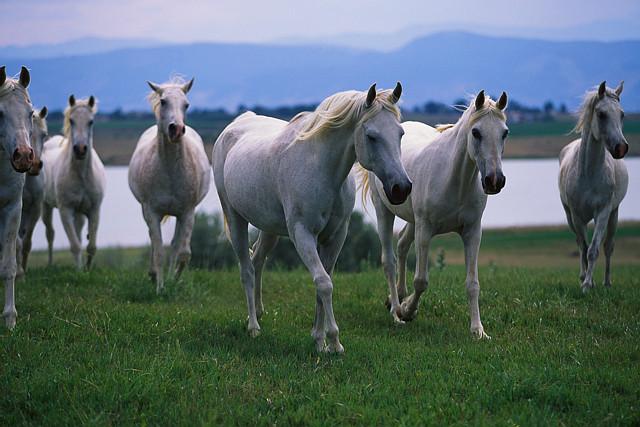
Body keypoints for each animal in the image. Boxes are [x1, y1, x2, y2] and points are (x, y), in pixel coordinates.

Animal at [42, 95, 106, 270]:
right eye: (71, 120)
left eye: (91, 121)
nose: (80, 149)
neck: (81, 175)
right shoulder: (66, 210)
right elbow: (75, 245)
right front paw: (79, 271)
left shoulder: (94, 210)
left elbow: (91, 246)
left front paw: (87, 268)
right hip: (46, 206)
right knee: (50, 234)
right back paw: (50, 264)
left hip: (79, 213)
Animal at [128, 77, 210, 293]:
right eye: (163, 101)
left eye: (186, 104)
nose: (177, 130)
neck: (170, 171)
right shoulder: (152, 212)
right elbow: (158, 251)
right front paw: (160, 288)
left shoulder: (188, 213)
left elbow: (183, 253)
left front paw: (174, 281)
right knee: (154, 244)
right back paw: (153, 275)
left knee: (174, 245)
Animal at [213, 83, 412, 352]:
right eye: (371, 136)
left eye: (400, 134)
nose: (401, 188)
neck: (322, 169)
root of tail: (235, 125)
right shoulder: (303, 234)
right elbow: (324, 283)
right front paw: (334, 341)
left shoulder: (335, 236)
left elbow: (323, 284)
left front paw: (320, 340)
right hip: (235, 219)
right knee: (246, 270)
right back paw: (253, 327)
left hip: (269, 229)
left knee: (257, 261)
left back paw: (258, 314)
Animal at [359, 90, 509, 339]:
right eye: (476, 132)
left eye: (505, 133)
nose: (494, 180)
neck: (453, 180)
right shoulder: (425, 230)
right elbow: (421, 280)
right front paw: (407, 311)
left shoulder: (472, 232)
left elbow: (473, 284)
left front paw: (478, 330)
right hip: (386, 213)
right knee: (389, 259)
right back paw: (396, 309)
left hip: (413, 221)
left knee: (402, 245)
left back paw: (397, 296)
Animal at [559, 81, 628, 292]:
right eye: (602, 114)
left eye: (622, 114)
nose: (621, 148)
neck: (588, 173)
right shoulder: (576, 215)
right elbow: (583, 246)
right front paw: (585, 280)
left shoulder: (603, 211)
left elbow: (594, 249)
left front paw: (588, 285)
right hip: (570, 216)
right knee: (580, 243)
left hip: (613, 214)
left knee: (608, 246)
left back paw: (606, 282)